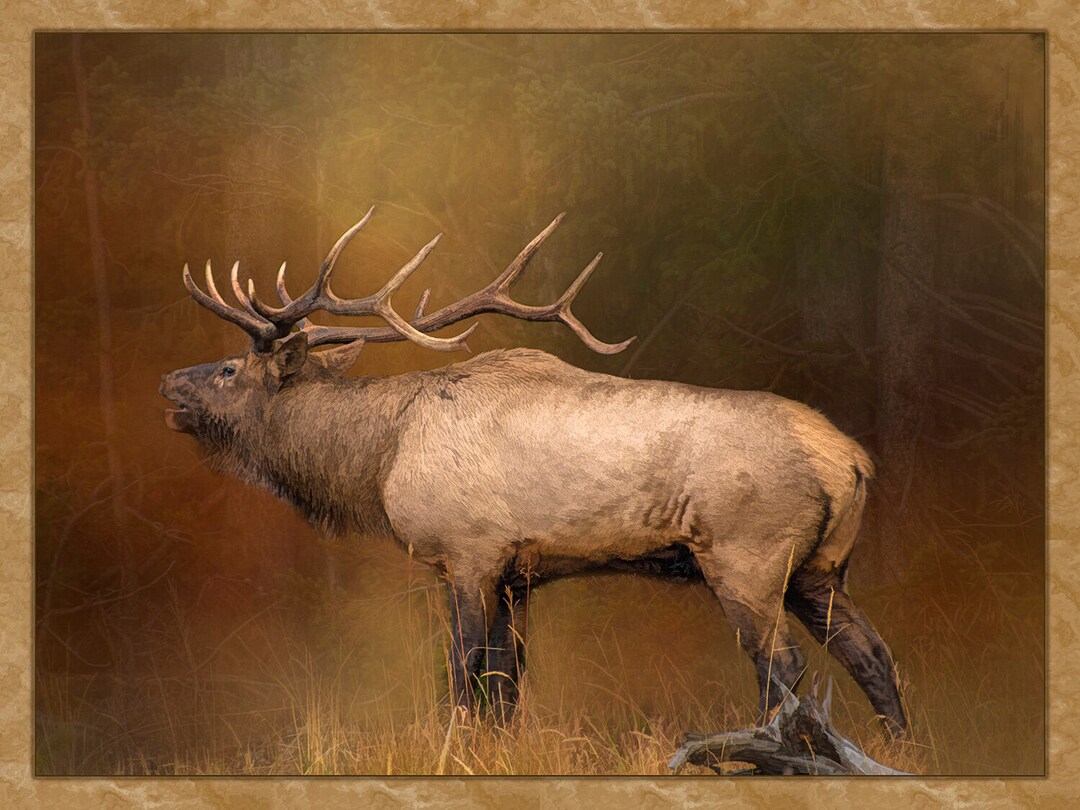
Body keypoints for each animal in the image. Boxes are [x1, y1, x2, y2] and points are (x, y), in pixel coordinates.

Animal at [159, 209, 907, 738]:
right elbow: (508, 685)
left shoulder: (467, 552)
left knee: (782, 664)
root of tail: (852, 460)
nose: (169, 381)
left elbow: (464, 673)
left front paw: (453, 750)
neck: (379, 457)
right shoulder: (519, 574)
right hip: (820, 568)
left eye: (228, 369)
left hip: (747, 555)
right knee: (873, 656)